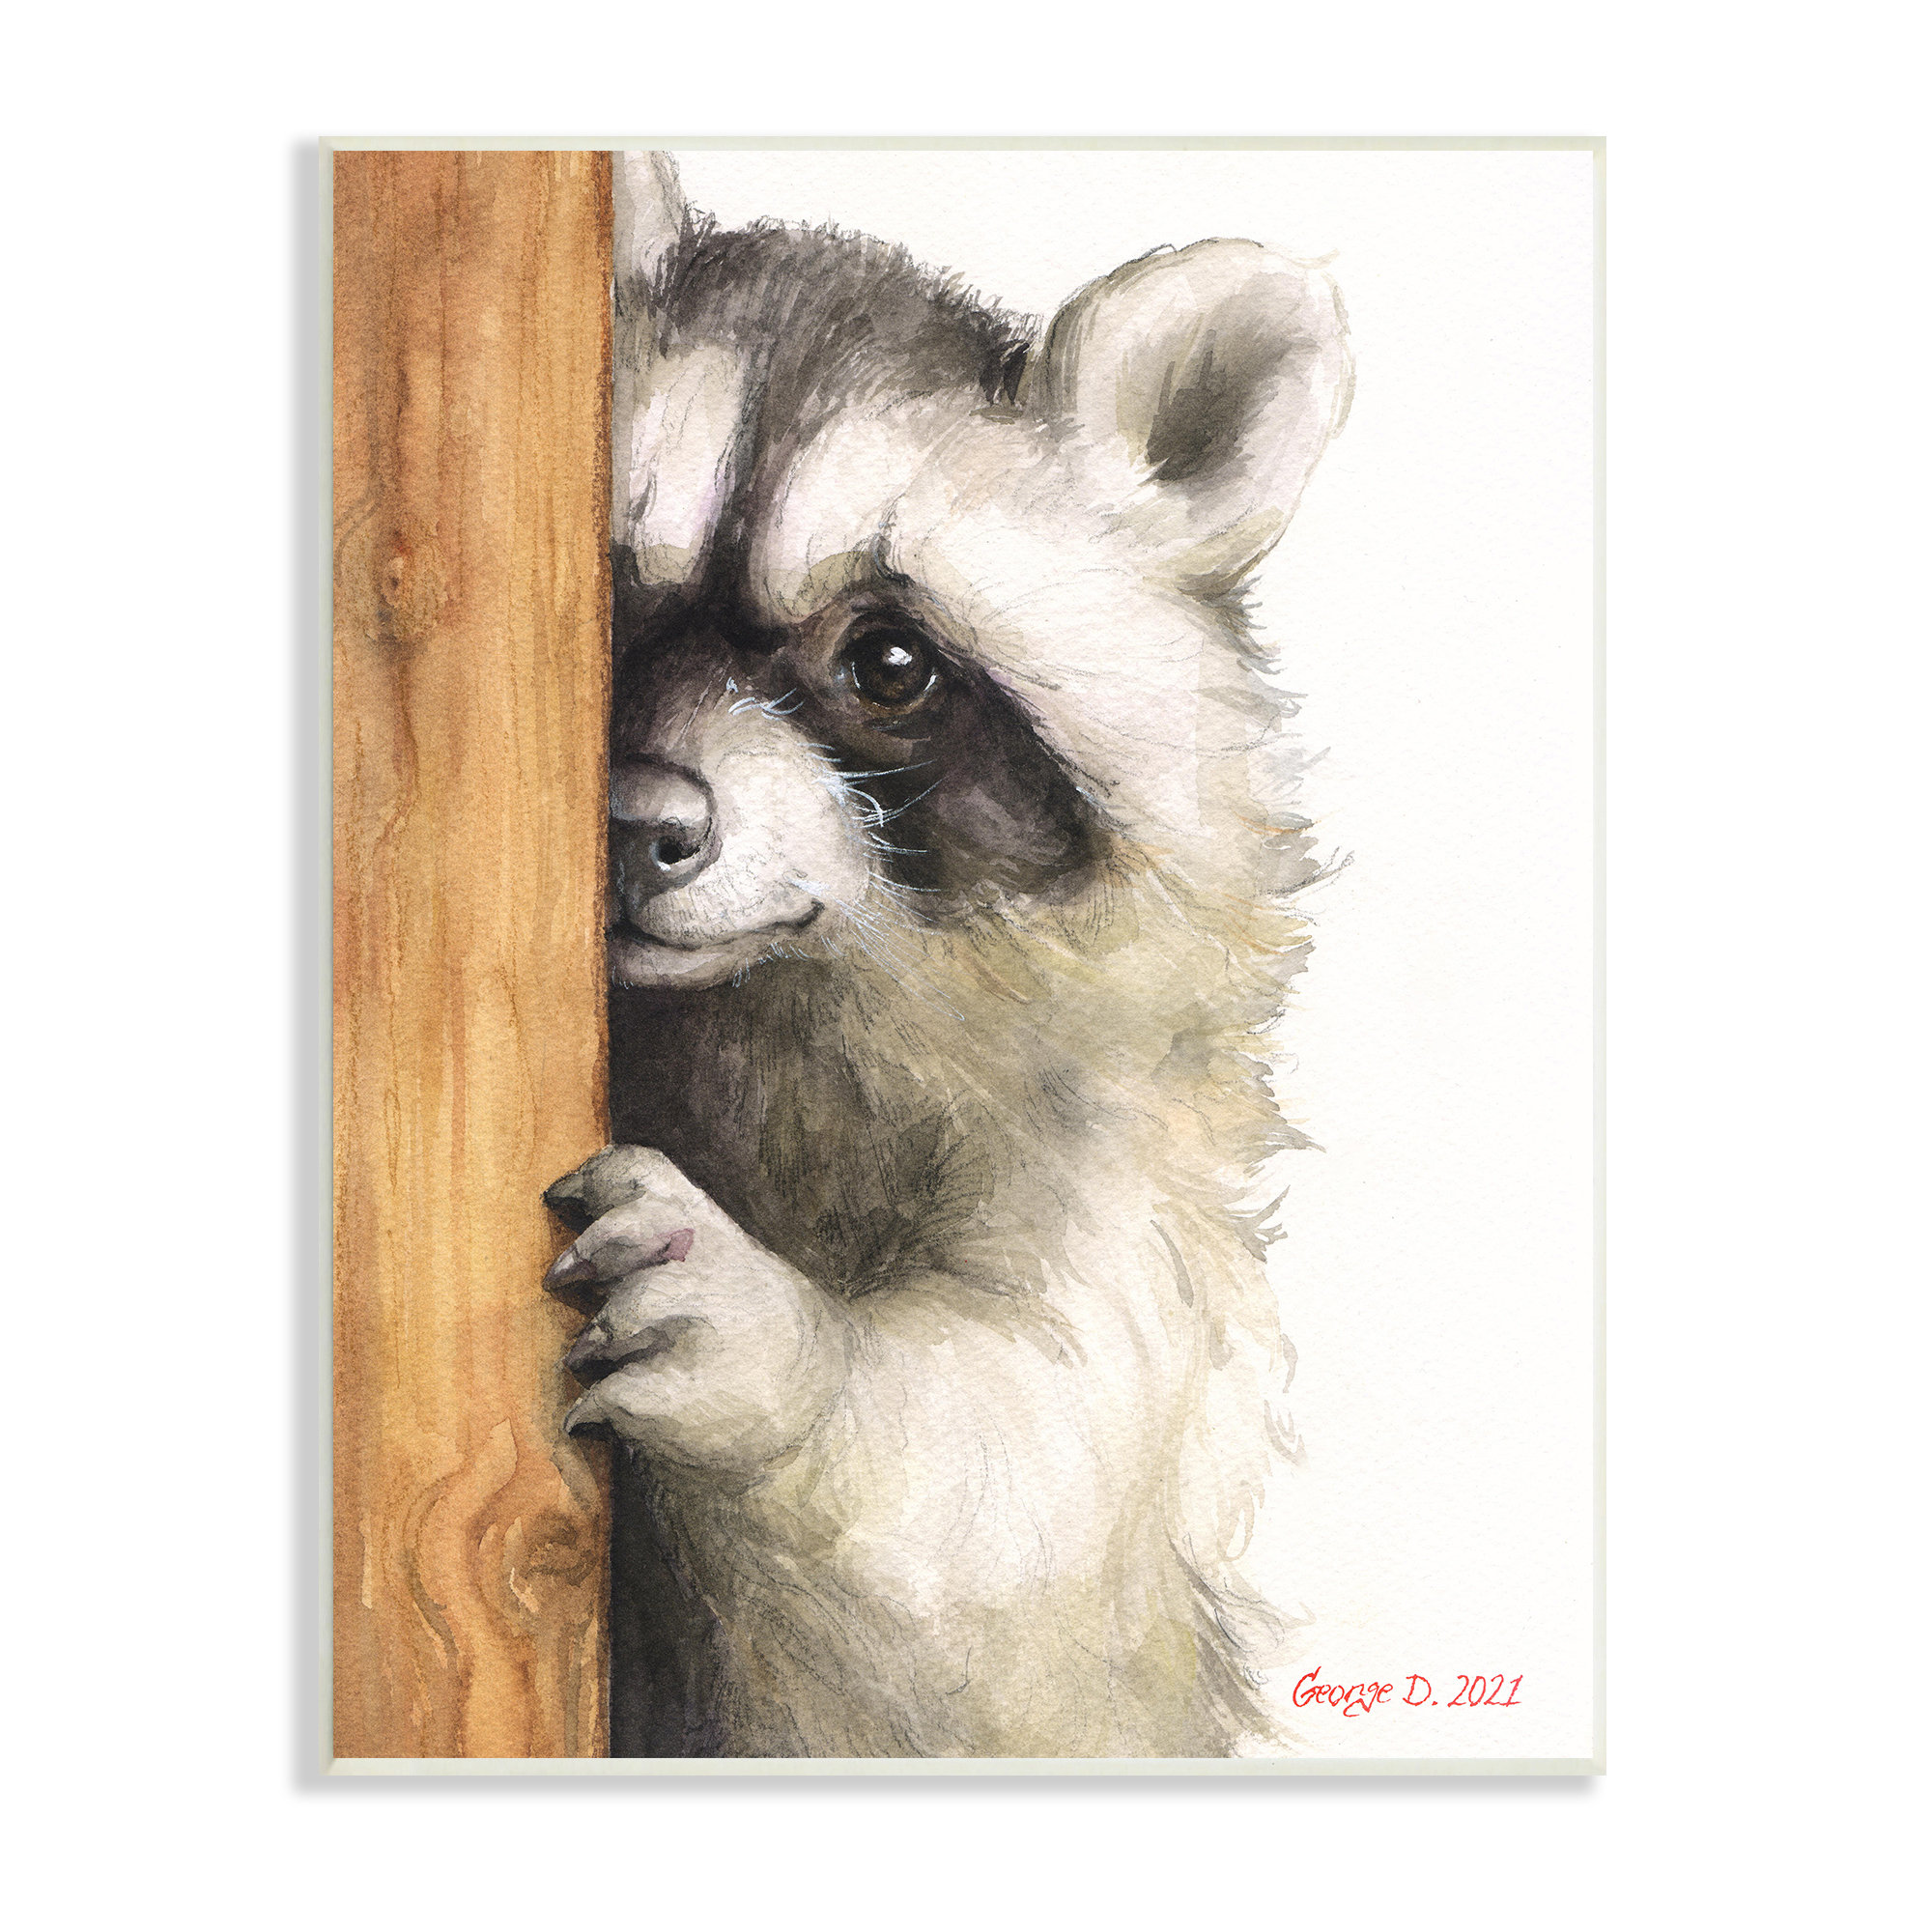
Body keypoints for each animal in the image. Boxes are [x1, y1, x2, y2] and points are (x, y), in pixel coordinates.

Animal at [543, 153, 1352, 1758]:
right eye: (601, 601)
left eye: (890, 664)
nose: (637, 828)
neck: (753, 1013)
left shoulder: (1124, 1175)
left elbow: (1017, 1501)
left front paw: (786, 1363)